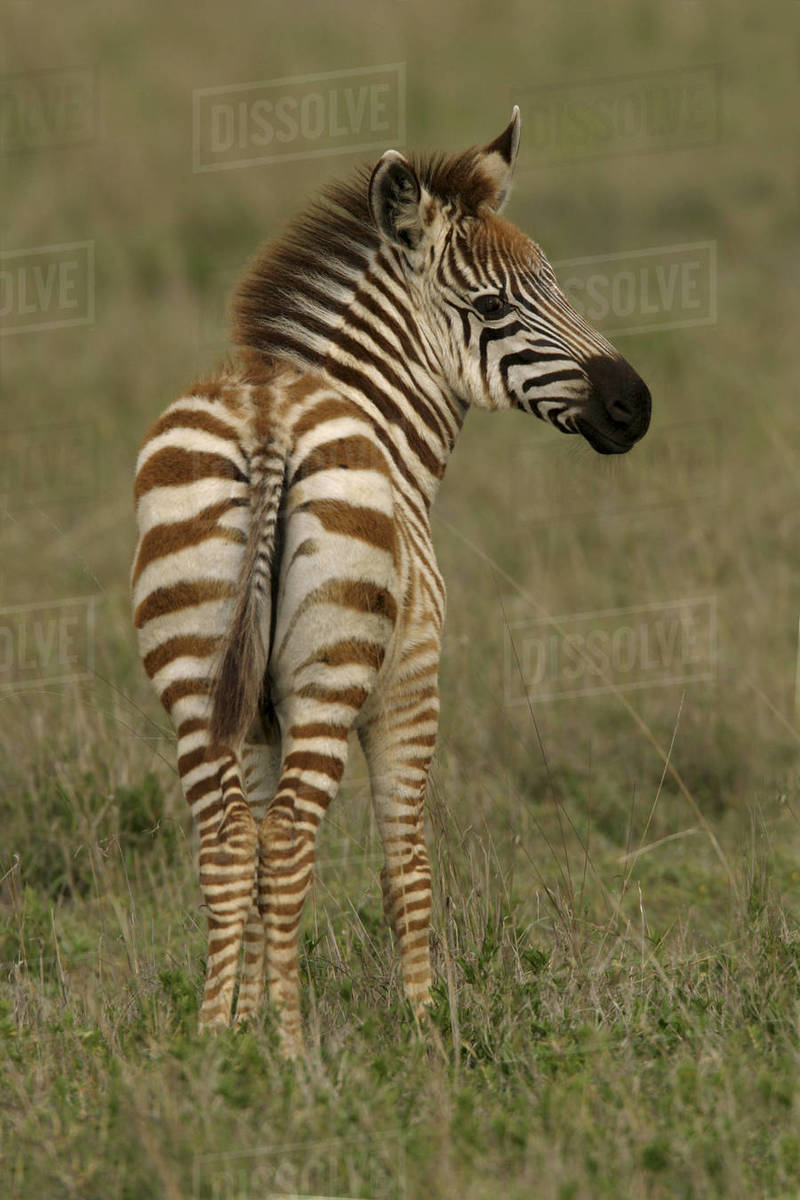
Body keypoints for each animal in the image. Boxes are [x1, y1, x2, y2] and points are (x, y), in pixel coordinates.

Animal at [131, 108, 650, 1056]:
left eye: (556, 284)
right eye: (493, 308)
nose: (636, 405)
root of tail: (267, 421)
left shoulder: (256, 716)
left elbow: (251, 856)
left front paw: (242, 1027)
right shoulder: (413, 684)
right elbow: (405, 864)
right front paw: (425, 1029)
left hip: (194, 670)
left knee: (228, 844)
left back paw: (217, 1051)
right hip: (333, 677)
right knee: (291, 842)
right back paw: (296, 1058)